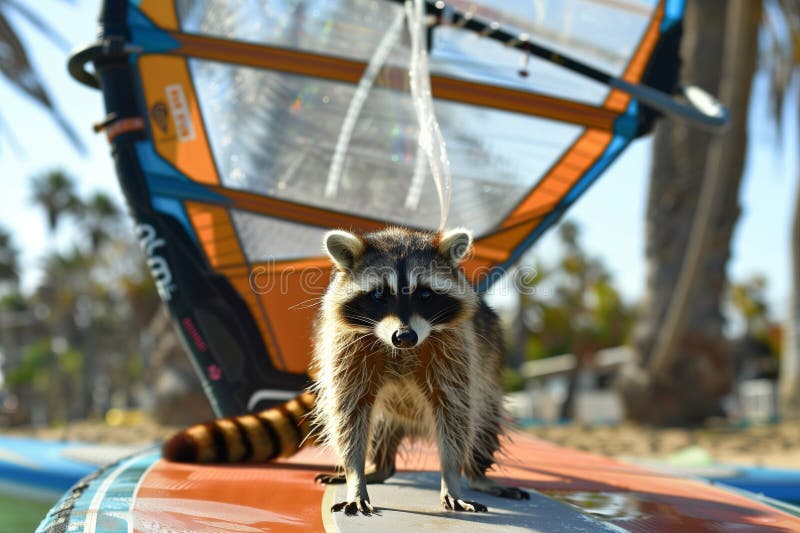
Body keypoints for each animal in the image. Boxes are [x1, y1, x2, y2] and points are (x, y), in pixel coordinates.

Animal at [161, 226, 527, 514]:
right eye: (379, 295)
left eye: (425, 294)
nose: (405, 336)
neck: (399, 348)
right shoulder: (346, 346)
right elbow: (350, 414)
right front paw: (355, 476)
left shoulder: (456, 347)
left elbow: (454, 412)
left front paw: (451, 476)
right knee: (376, 423)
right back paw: (378, 467)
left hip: (486, 378)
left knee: (483, 420)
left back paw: (476, 475)